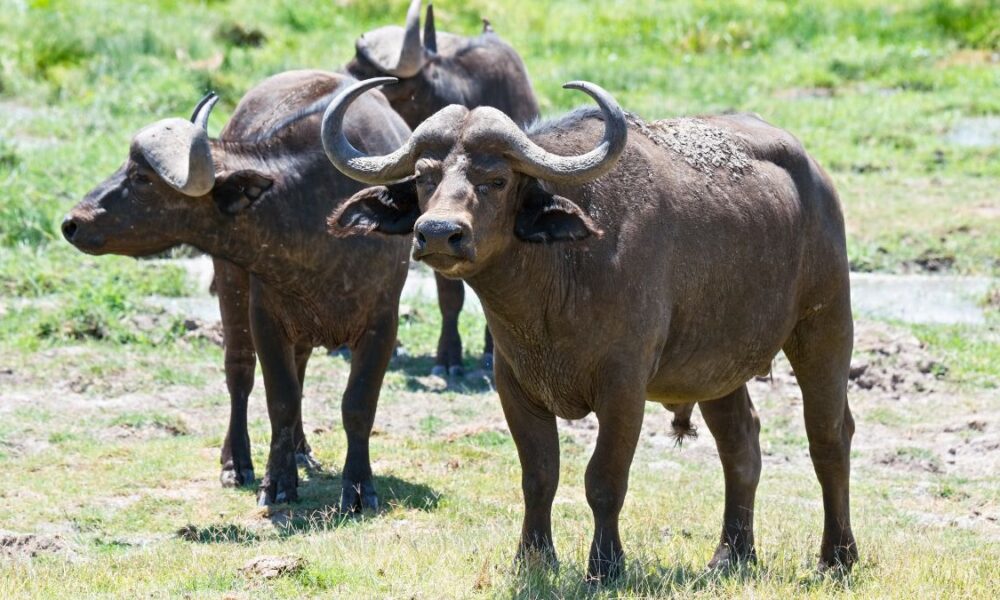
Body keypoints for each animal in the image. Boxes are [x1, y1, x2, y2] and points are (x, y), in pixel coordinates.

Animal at [63, 71, 412, 510]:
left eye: (142, 178)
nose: (72, 222)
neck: (311, 213)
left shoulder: (382, 323)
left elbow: (358, 404)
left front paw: (360, 487)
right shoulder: (265, 317)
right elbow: (279, 397)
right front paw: (276, 481)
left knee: (299, 369)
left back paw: (301, 450)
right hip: (230, 283)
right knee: (240, 372)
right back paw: (238, 463)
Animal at [320, 77, 858, 580]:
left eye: (496, 179)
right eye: (424, 176)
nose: (437, 233)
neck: (553, 285)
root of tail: (816, 178)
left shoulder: (623, 389)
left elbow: (604, 479)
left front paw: (605, 564)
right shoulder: (514, 385)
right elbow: (539, 476)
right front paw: (533, 558)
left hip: (825, 323)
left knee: (829, 435)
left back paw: (837, 556)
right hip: (715, 368)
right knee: (741, 444)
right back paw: (731, 555)